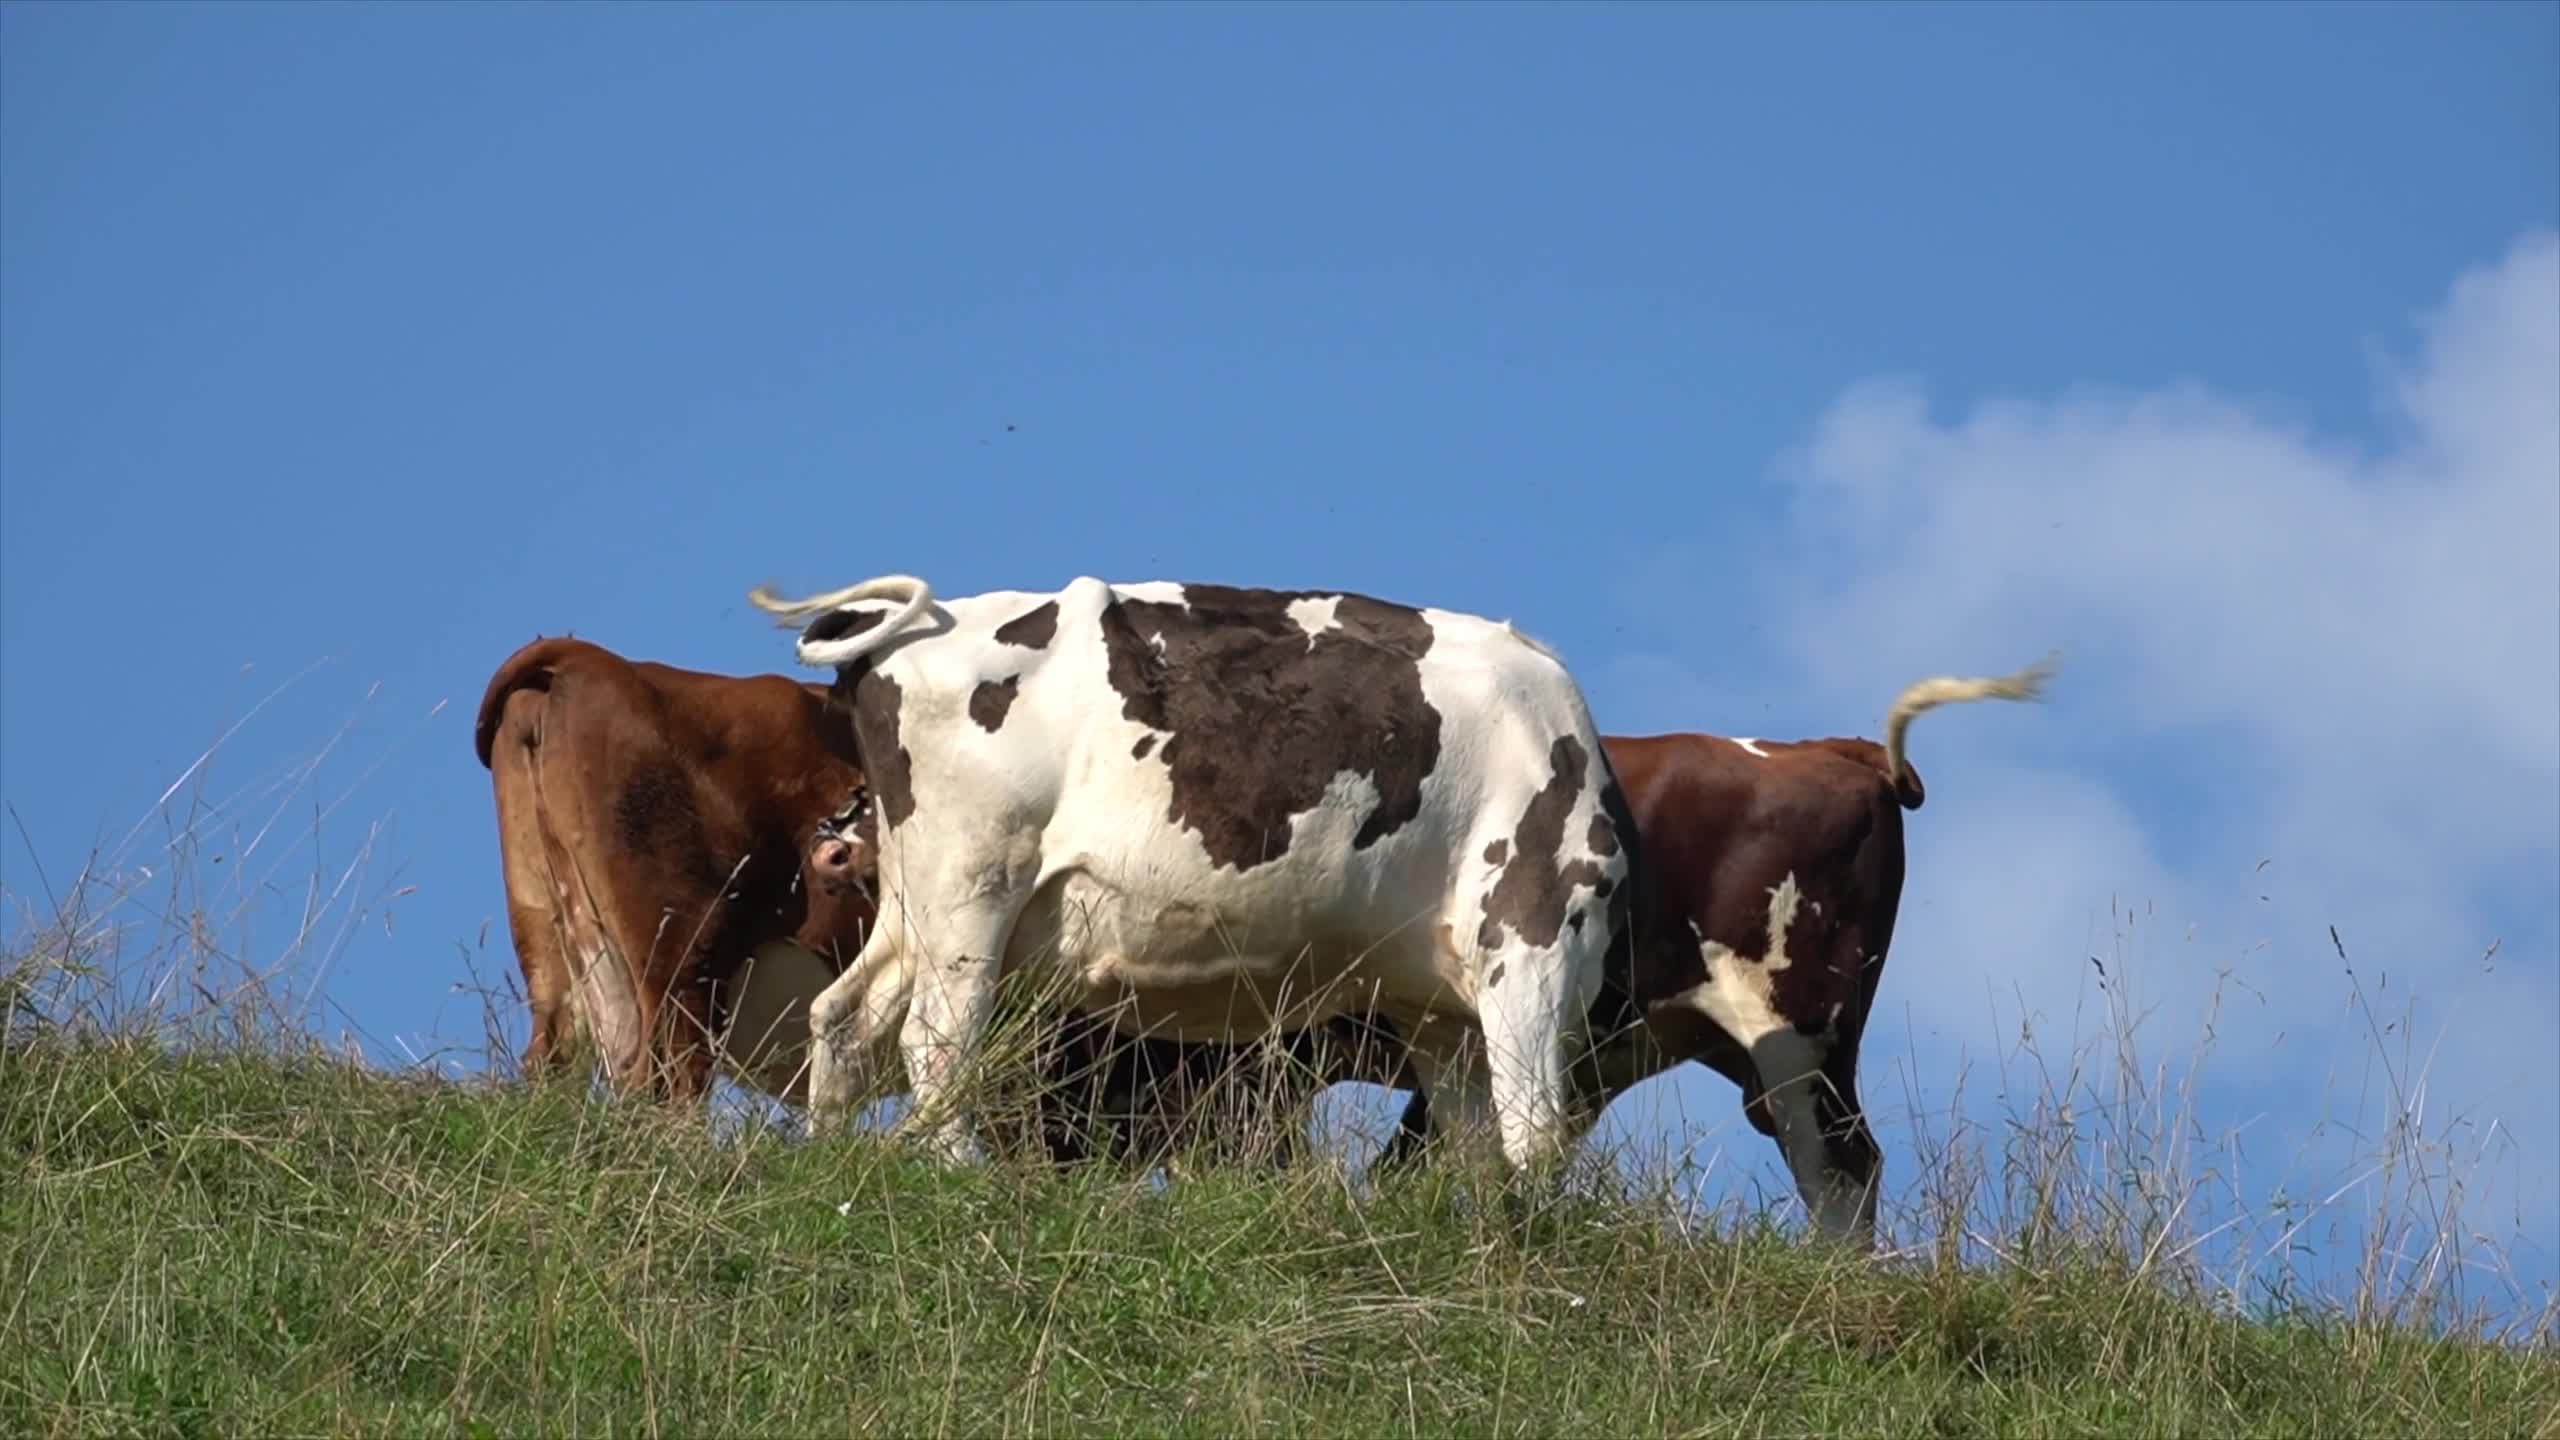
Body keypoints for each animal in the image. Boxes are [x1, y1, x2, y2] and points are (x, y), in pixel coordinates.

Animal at [744, 574, 1638, 1175]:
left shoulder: (1438, 1009)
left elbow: (1477, 1152)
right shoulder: (1530, 935)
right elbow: (1534, 1138)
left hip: (918, 896)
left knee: (847, 1015)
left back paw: (830, 1168)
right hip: (973, 879)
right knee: (936, 1033)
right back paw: (961, 1170)